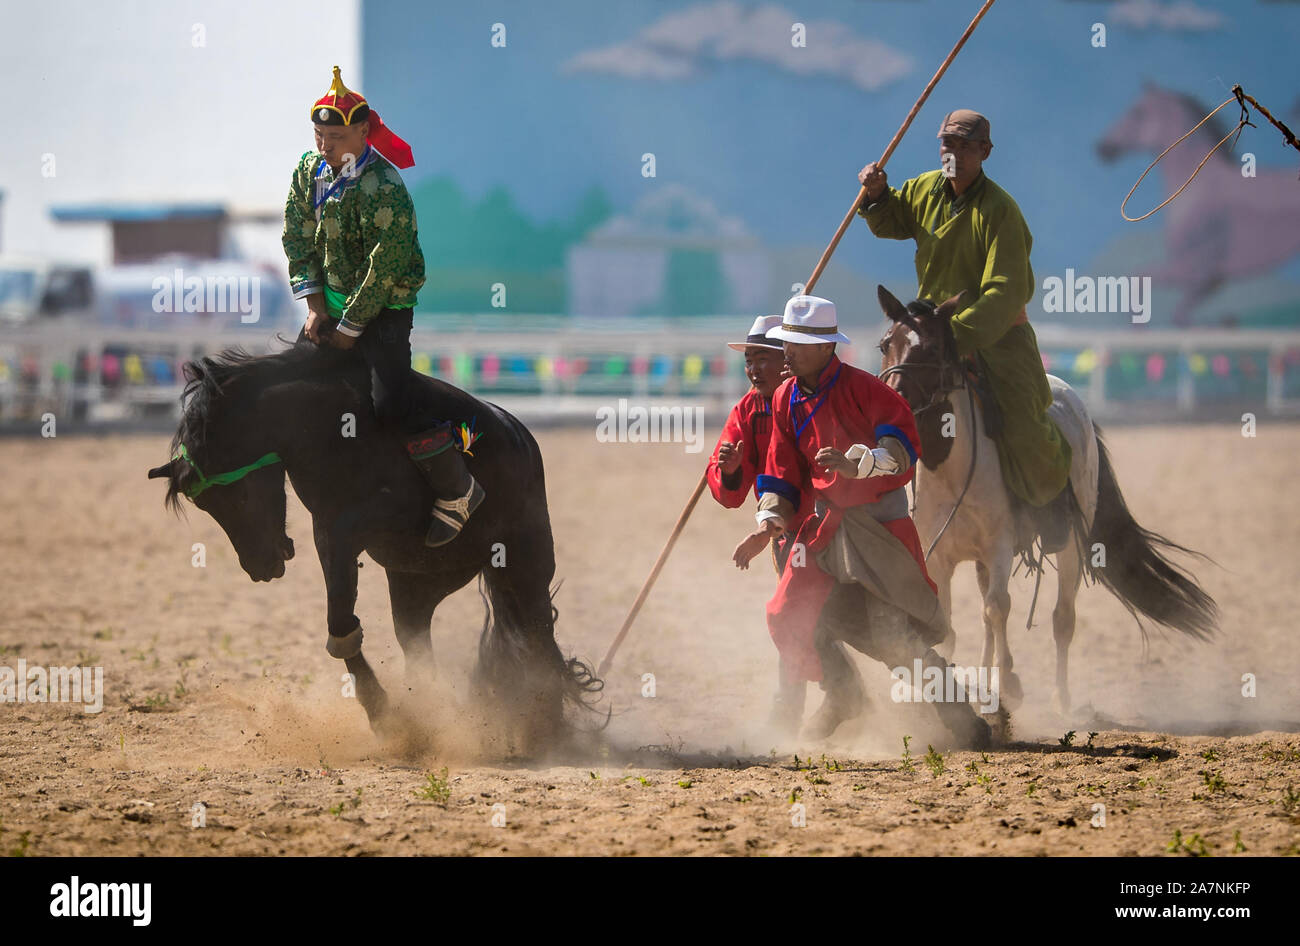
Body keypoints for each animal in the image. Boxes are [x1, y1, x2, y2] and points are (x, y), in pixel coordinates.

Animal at [146, 340, 601, 757]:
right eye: (204, 503)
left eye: (234, 495)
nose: (259, 564)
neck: (328, 423)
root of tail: (520, 436)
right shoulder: (327, 530)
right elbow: (341, 620)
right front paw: (388, 715)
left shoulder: (367, 517)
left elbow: (341, 608)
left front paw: (384, 713)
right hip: (416, 583)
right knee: (420, 642)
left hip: (524, 565)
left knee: (538, 637)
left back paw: (546, 730)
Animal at [874, 286, 1218, 724]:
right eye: (886, 344)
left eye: (933, 348)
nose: (893, 400)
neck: (951, 467)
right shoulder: (938, 556)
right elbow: (949, 625)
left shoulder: (1000, 547)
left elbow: (998, 609)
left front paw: (1009, 686)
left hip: (1071, 545)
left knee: (1061, 620)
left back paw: (1061, 700)